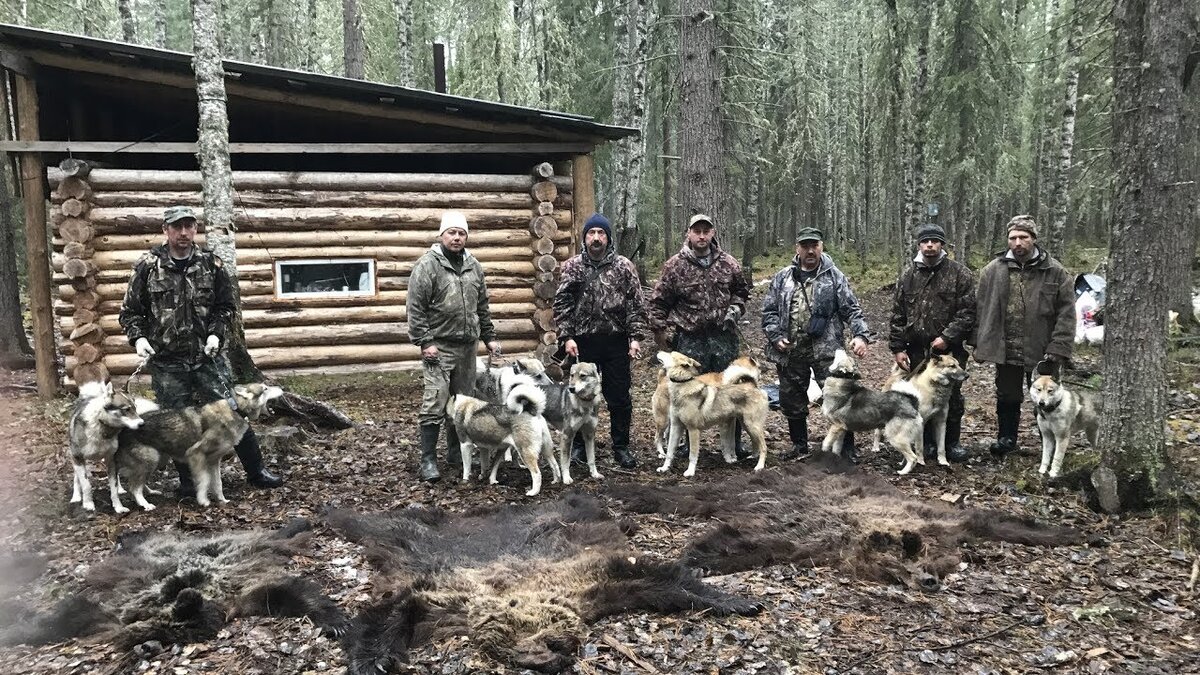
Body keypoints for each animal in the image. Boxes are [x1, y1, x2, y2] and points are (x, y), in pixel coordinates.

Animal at [66, 381, 146, 511]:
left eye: (135, 407)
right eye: (126, 409)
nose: (142, 424)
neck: (102, 427)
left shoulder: (111, 459)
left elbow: (114, 488)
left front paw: (118, 507)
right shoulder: (77, 457)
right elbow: (86, 484)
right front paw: (88, 504)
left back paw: (121, 489)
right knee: (76, 478)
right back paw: (76, 497)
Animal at [117, 381, 285, 506]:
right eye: (265, 388)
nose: (282, 388)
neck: (235, 410)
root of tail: (126, 427)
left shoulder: (214, 461)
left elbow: (218, 484)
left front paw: (222, 500)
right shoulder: (195, 454)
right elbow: (204, 481)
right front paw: (203, 501)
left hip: (158, 460)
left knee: (134, 481)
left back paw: (148, 493)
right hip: (152, 460)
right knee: (133, 487)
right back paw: (144, 504)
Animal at [820, 345, 921, 473]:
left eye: (845, 356)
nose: (841, 348)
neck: (840, 379)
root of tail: (912, 401)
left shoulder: (836, 426)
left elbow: (826, 443)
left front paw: (822, 456)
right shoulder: (841, 429)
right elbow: (836, 448)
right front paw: (835, 460)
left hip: (895, 438)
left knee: (913, 458)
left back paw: (903, 472)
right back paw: (901, 464)